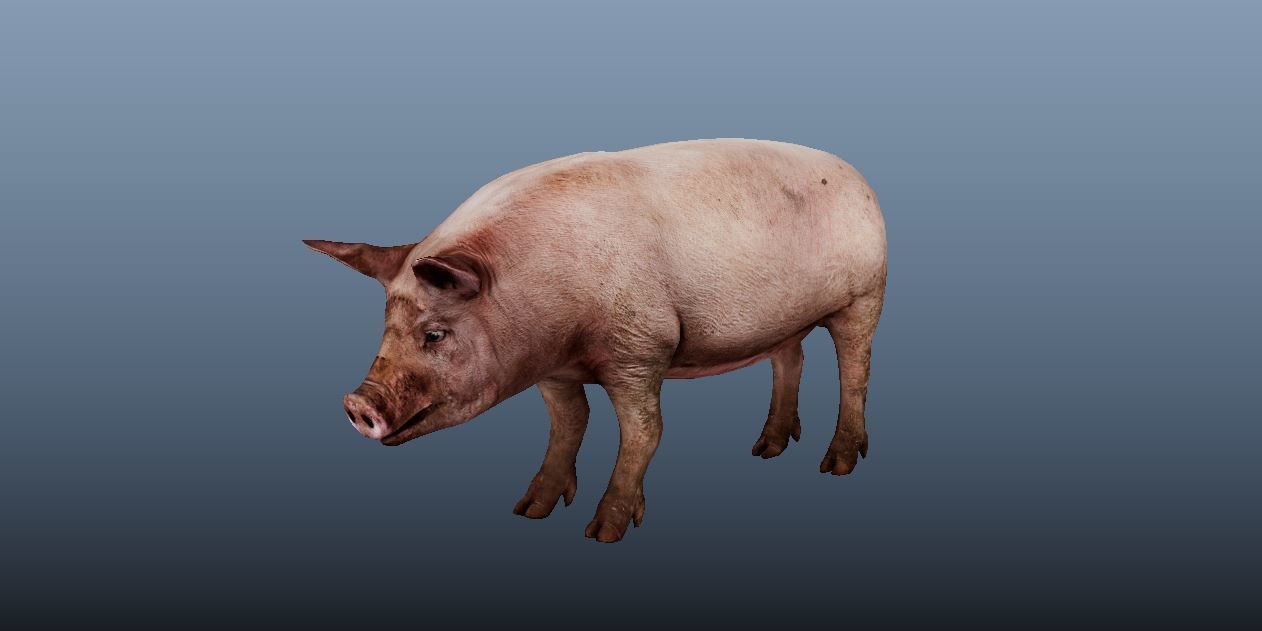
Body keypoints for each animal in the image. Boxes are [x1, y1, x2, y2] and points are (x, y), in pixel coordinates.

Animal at [304, 138, 887, 542]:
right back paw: (766, 450)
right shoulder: (553, 370)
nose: (356, 403)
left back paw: (836, 465)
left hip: (866, 295)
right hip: (784, 323)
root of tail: (856, 175)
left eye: (434, 333)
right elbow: (569, 425)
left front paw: (602, 534)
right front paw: (528, 511)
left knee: (855, 370)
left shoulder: (641, 344)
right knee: (790, 359)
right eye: (384, 327)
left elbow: (645, 432)